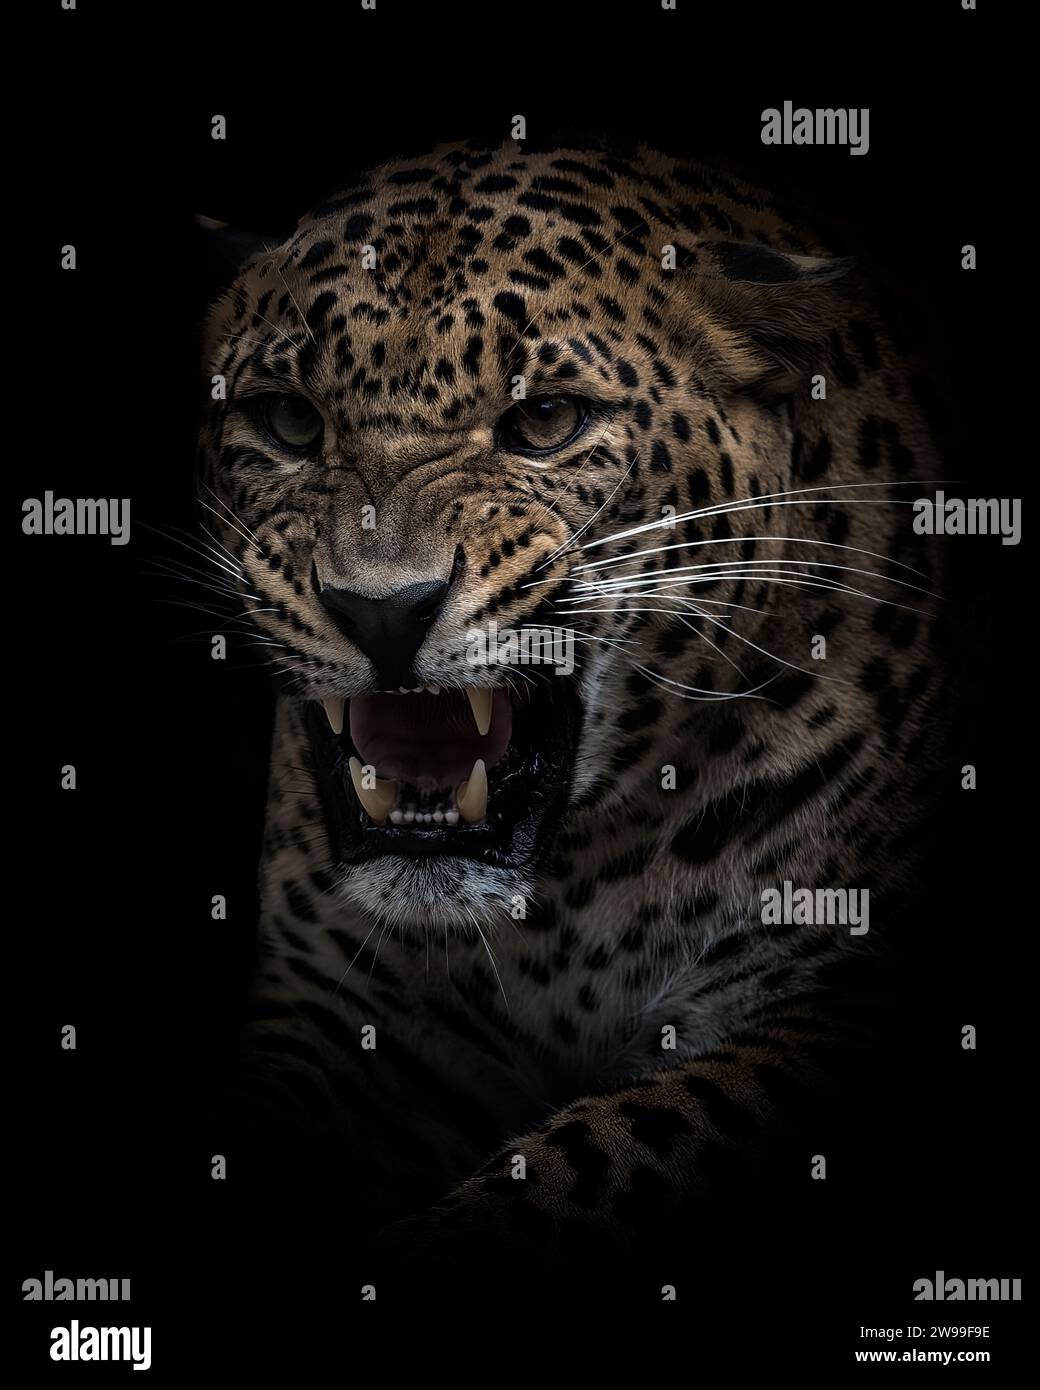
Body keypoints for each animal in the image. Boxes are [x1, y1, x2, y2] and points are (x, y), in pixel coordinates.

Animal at [195, 135, 950, 1268]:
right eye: (288, 418)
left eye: (544, 421)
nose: (381, 610)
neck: (559, 898)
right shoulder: (332, 1004)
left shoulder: (814, 1000)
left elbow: (585, 1160)